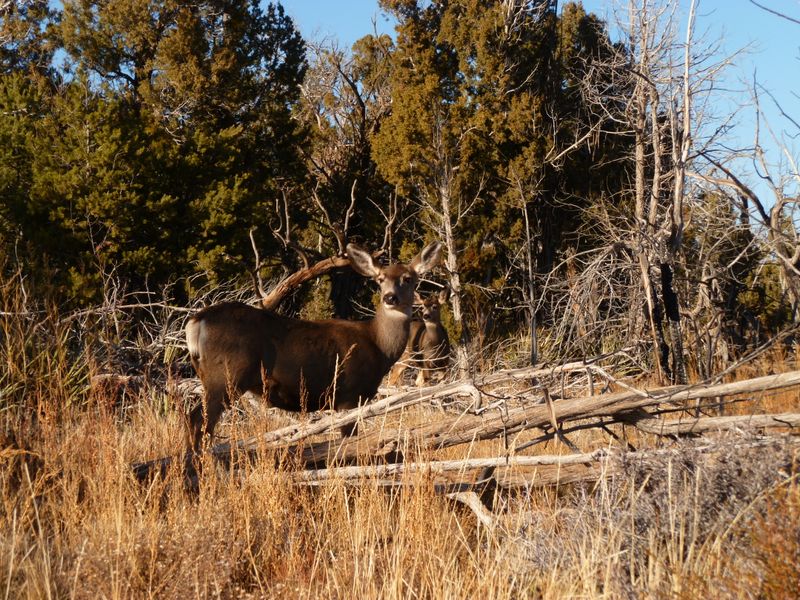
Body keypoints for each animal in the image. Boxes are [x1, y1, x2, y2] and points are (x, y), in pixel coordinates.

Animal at [184, 242, 442, 454]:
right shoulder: (348, 394)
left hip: (210, 375)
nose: (390, 298)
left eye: (408, 278)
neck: (378, 345)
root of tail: (196, 322)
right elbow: (349, 440)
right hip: (227, 374)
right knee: (199, 419)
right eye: (380, 279)